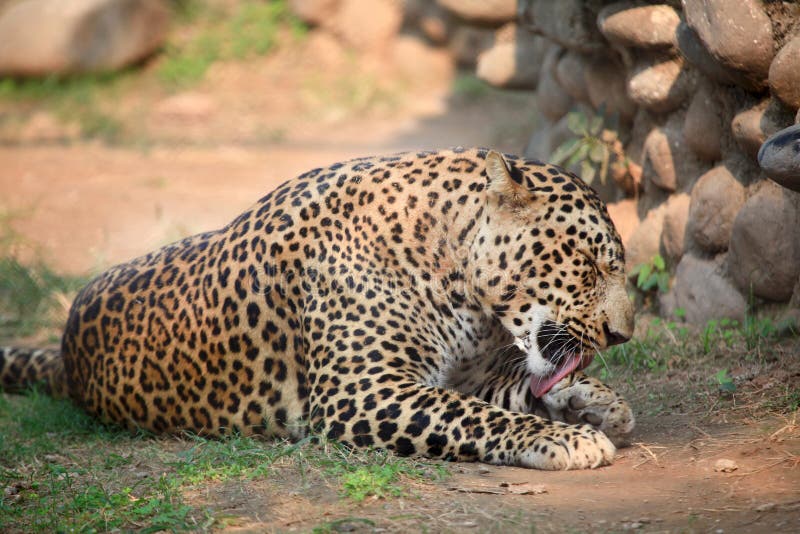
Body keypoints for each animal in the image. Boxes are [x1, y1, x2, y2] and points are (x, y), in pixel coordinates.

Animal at [0, 148, 635, 470]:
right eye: (590, 262)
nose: (623, 334)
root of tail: (64, 354)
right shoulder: (359, 391)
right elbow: (475, 417)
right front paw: (565, 439)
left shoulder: (460, 376)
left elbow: (507, 393)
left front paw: (597, 403)